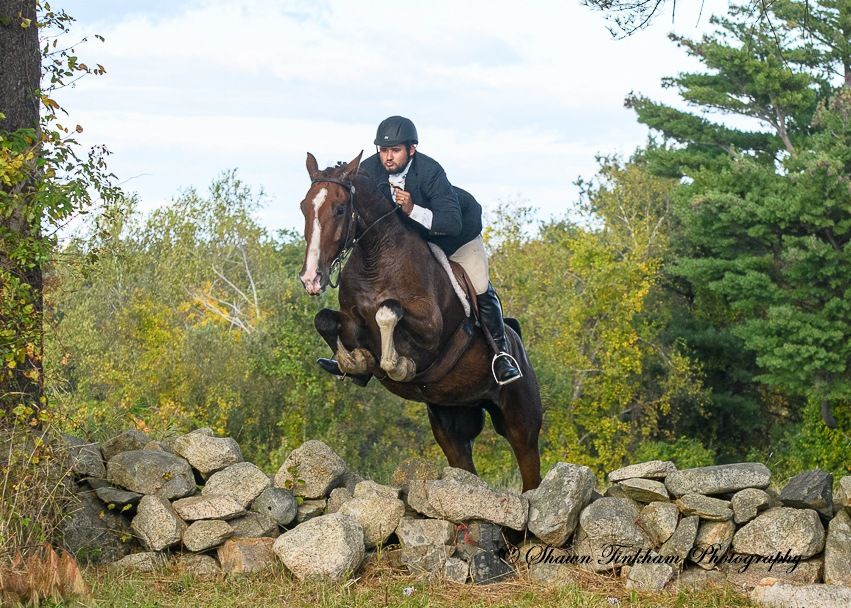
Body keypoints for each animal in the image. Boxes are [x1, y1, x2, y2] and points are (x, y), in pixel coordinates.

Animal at [297, 151, 543, 492]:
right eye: (304, 207)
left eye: (340, 208)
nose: (311, 279)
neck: (376, 259)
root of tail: (516, 339)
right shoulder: (354, 323)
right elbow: (325, 320)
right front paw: (354, 362)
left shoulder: (430, 330)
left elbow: (389, 311)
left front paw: (396, 365)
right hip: (451, 421)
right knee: (462, 460)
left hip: (520, 422)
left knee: (530, 467)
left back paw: (506, 366)